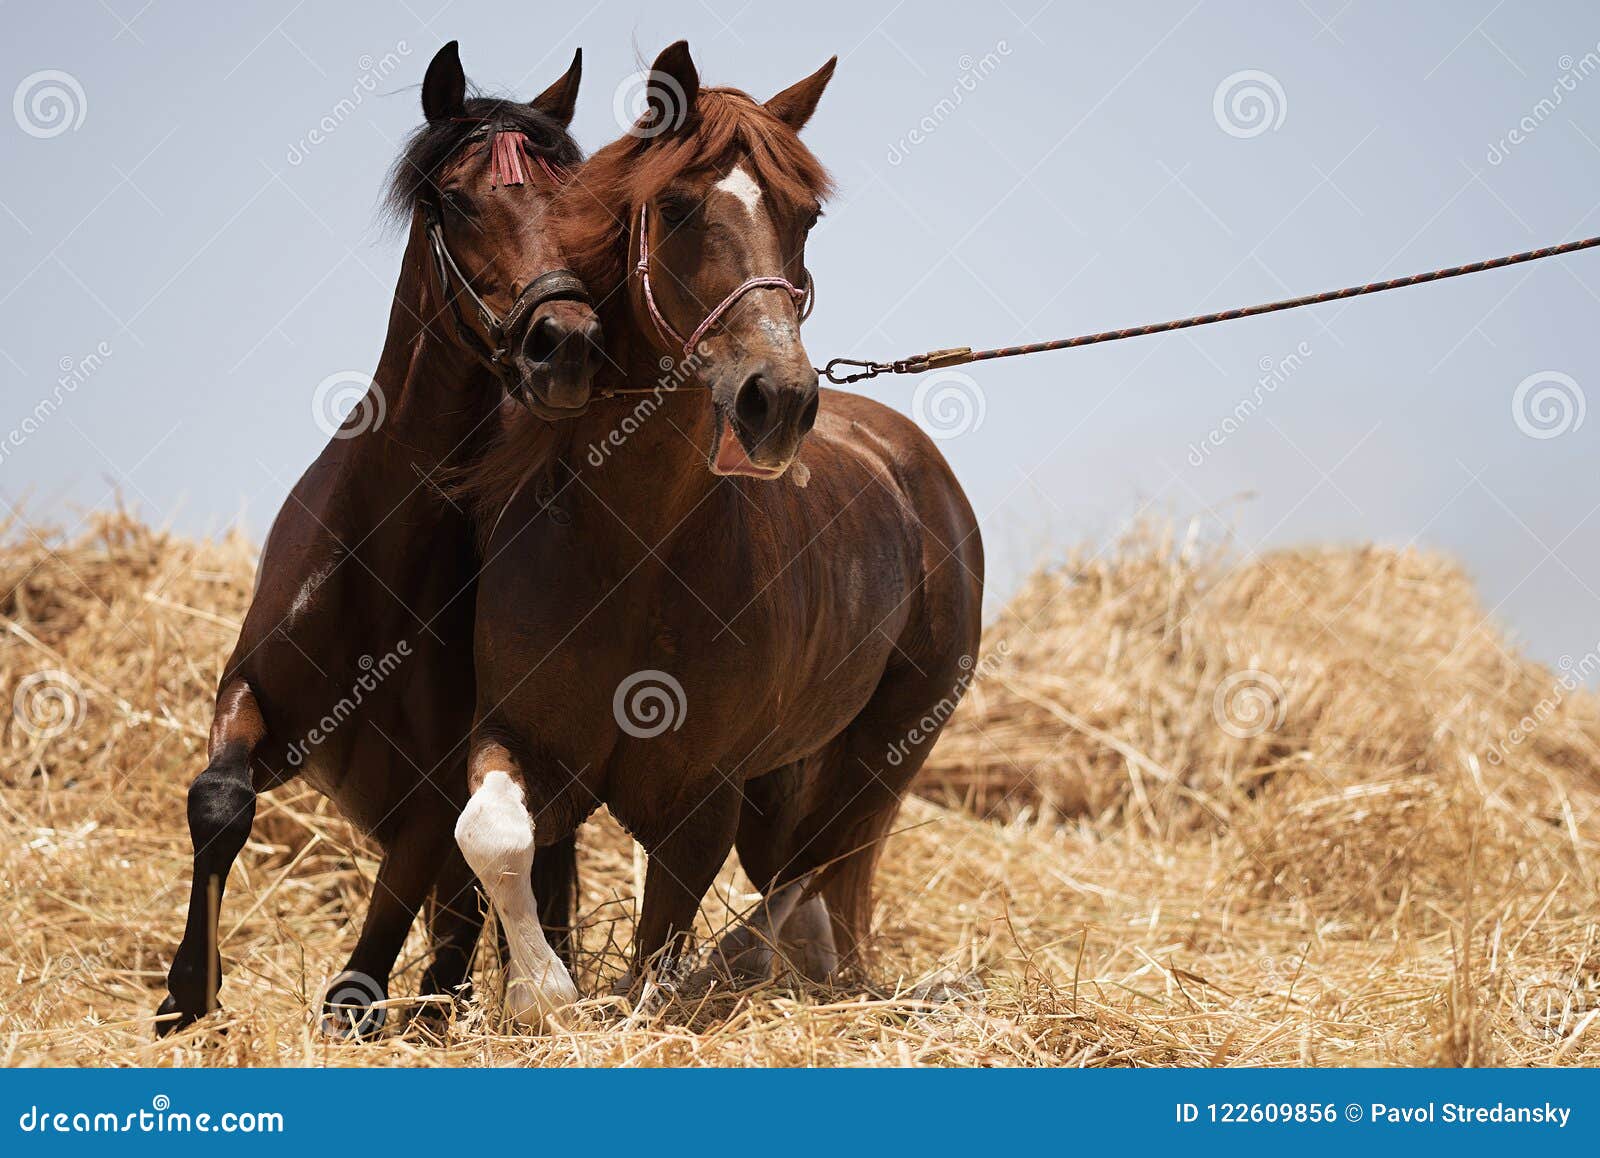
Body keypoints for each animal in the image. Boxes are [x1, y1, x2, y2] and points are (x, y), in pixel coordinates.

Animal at [155, 41, 600, 1039]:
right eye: (455, 201)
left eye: (583, 204)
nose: (565, 344)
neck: (380, 558)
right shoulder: (250, 695)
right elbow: (219, 799)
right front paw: (185, 995)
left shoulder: (435, 793)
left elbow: (370, 968)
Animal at [457, 41, 984, 1027]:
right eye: (673, 205)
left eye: (805, 215)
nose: (778, 401)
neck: (627, 554)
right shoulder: (515, 735)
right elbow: (494, 835)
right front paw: (541, 997)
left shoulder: (703, 801)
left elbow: (658, 964)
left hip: (886, 750)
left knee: (817, 870)